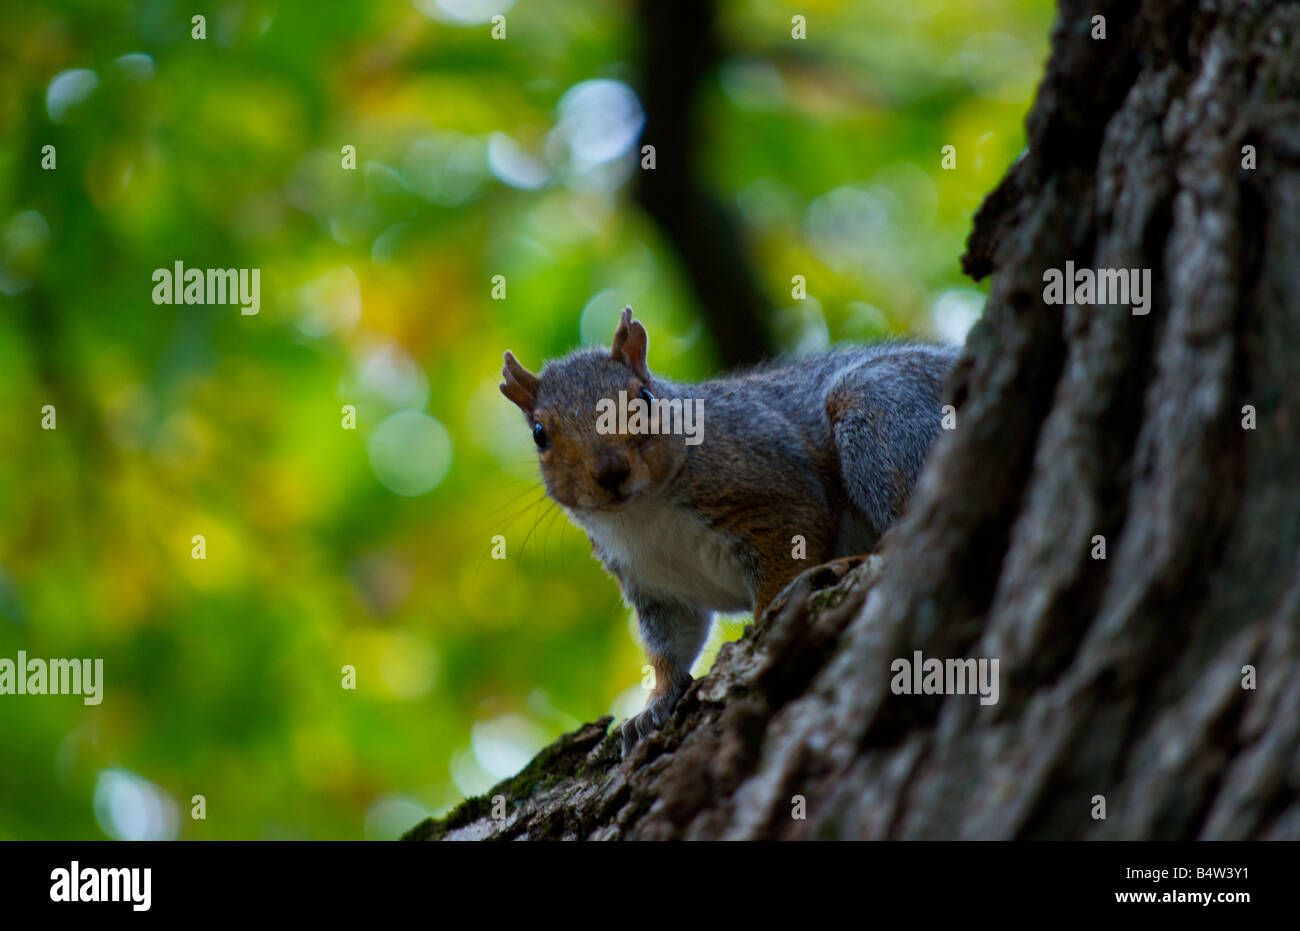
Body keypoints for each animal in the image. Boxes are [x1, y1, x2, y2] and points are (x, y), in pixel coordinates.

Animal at [500, 307, 958, 756]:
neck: (645, 512)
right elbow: (670, 645)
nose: (610, 471)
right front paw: (655, 705)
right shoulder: (656, 588)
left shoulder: (779, 496)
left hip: (882, 409)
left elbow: (786, 566)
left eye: (644, 398)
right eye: (539, 434)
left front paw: (767, 623)